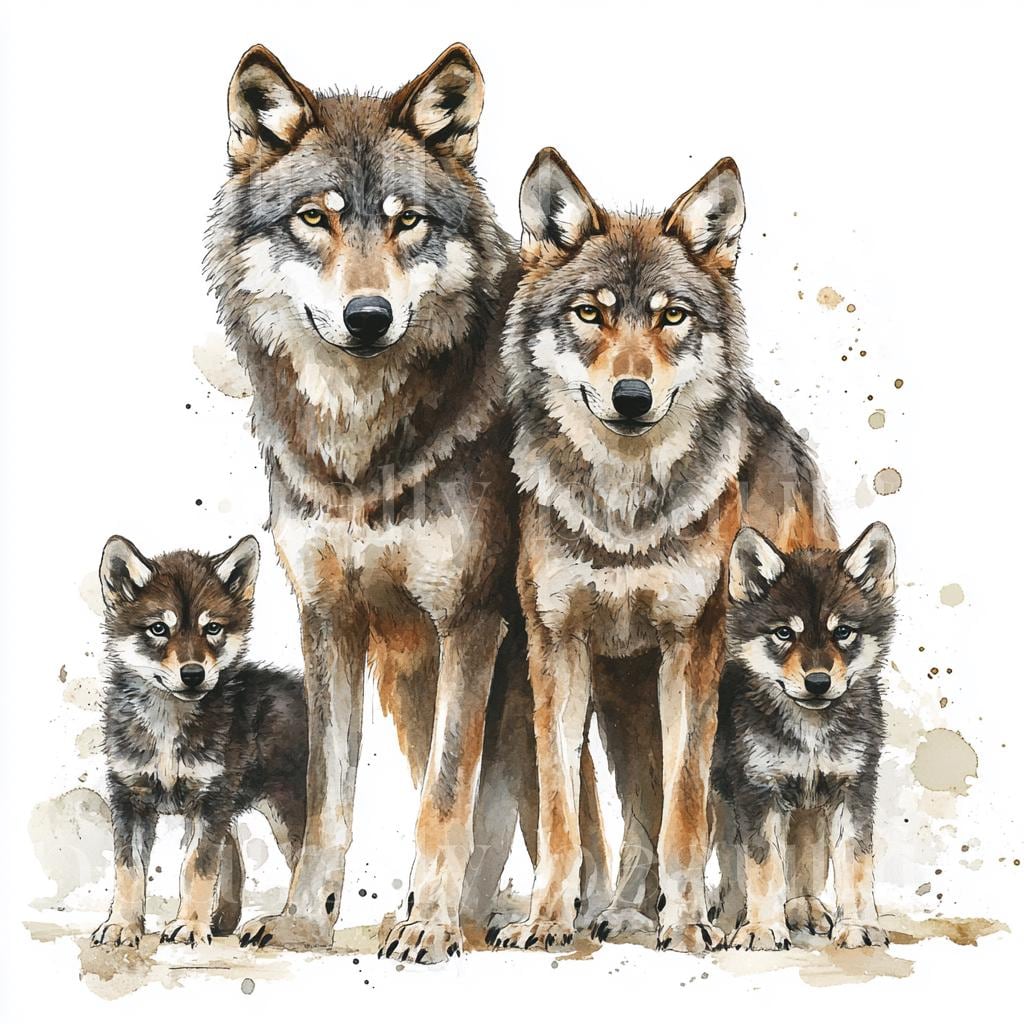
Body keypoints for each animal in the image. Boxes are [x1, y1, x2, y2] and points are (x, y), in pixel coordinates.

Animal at [91, 535, 306, 948]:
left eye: (213, 628)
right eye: (159, 628)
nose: (193, 674)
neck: (167, 721)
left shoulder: (209, 801)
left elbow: (196, 866)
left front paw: (189, 924)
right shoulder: (130, 798)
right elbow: (129, 868)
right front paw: (122, 925)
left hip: (286, 810)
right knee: (234, 855)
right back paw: (223, 921)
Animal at [205, 45, 610, 963]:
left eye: (408, 222)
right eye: (314, 220)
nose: (368, 315)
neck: (363, 453)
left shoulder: (470, 621)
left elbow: (445, 795)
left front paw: (429, 925)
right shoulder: (328, 618)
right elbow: (329, 797)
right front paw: (301, 921)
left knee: (563, 801)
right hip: (424, 680)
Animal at [495, 149, 836, 953]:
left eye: (671, 316)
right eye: (590, 313)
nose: (630, 397)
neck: (624, 516)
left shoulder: (693, 651)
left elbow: (689, 811)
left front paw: (687, 926)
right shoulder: (555, 651)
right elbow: (563, 811)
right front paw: (548, 918)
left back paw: (792, 907)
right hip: (624, 699)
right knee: (642, 814)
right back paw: (626, 910)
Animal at [712, 524, 896, 950]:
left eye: (842, 632)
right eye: (784, 633)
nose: (817, 682)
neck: (811, 730)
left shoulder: (853, 788)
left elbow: (854, 863)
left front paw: (858, 925)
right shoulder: (758, 792)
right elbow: (763, 866)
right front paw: (762, 927)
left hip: (808, 808)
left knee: (804, 861)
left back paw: (804, 907)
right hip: (725, 796)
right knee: (733, 865)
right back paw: (734, 916)